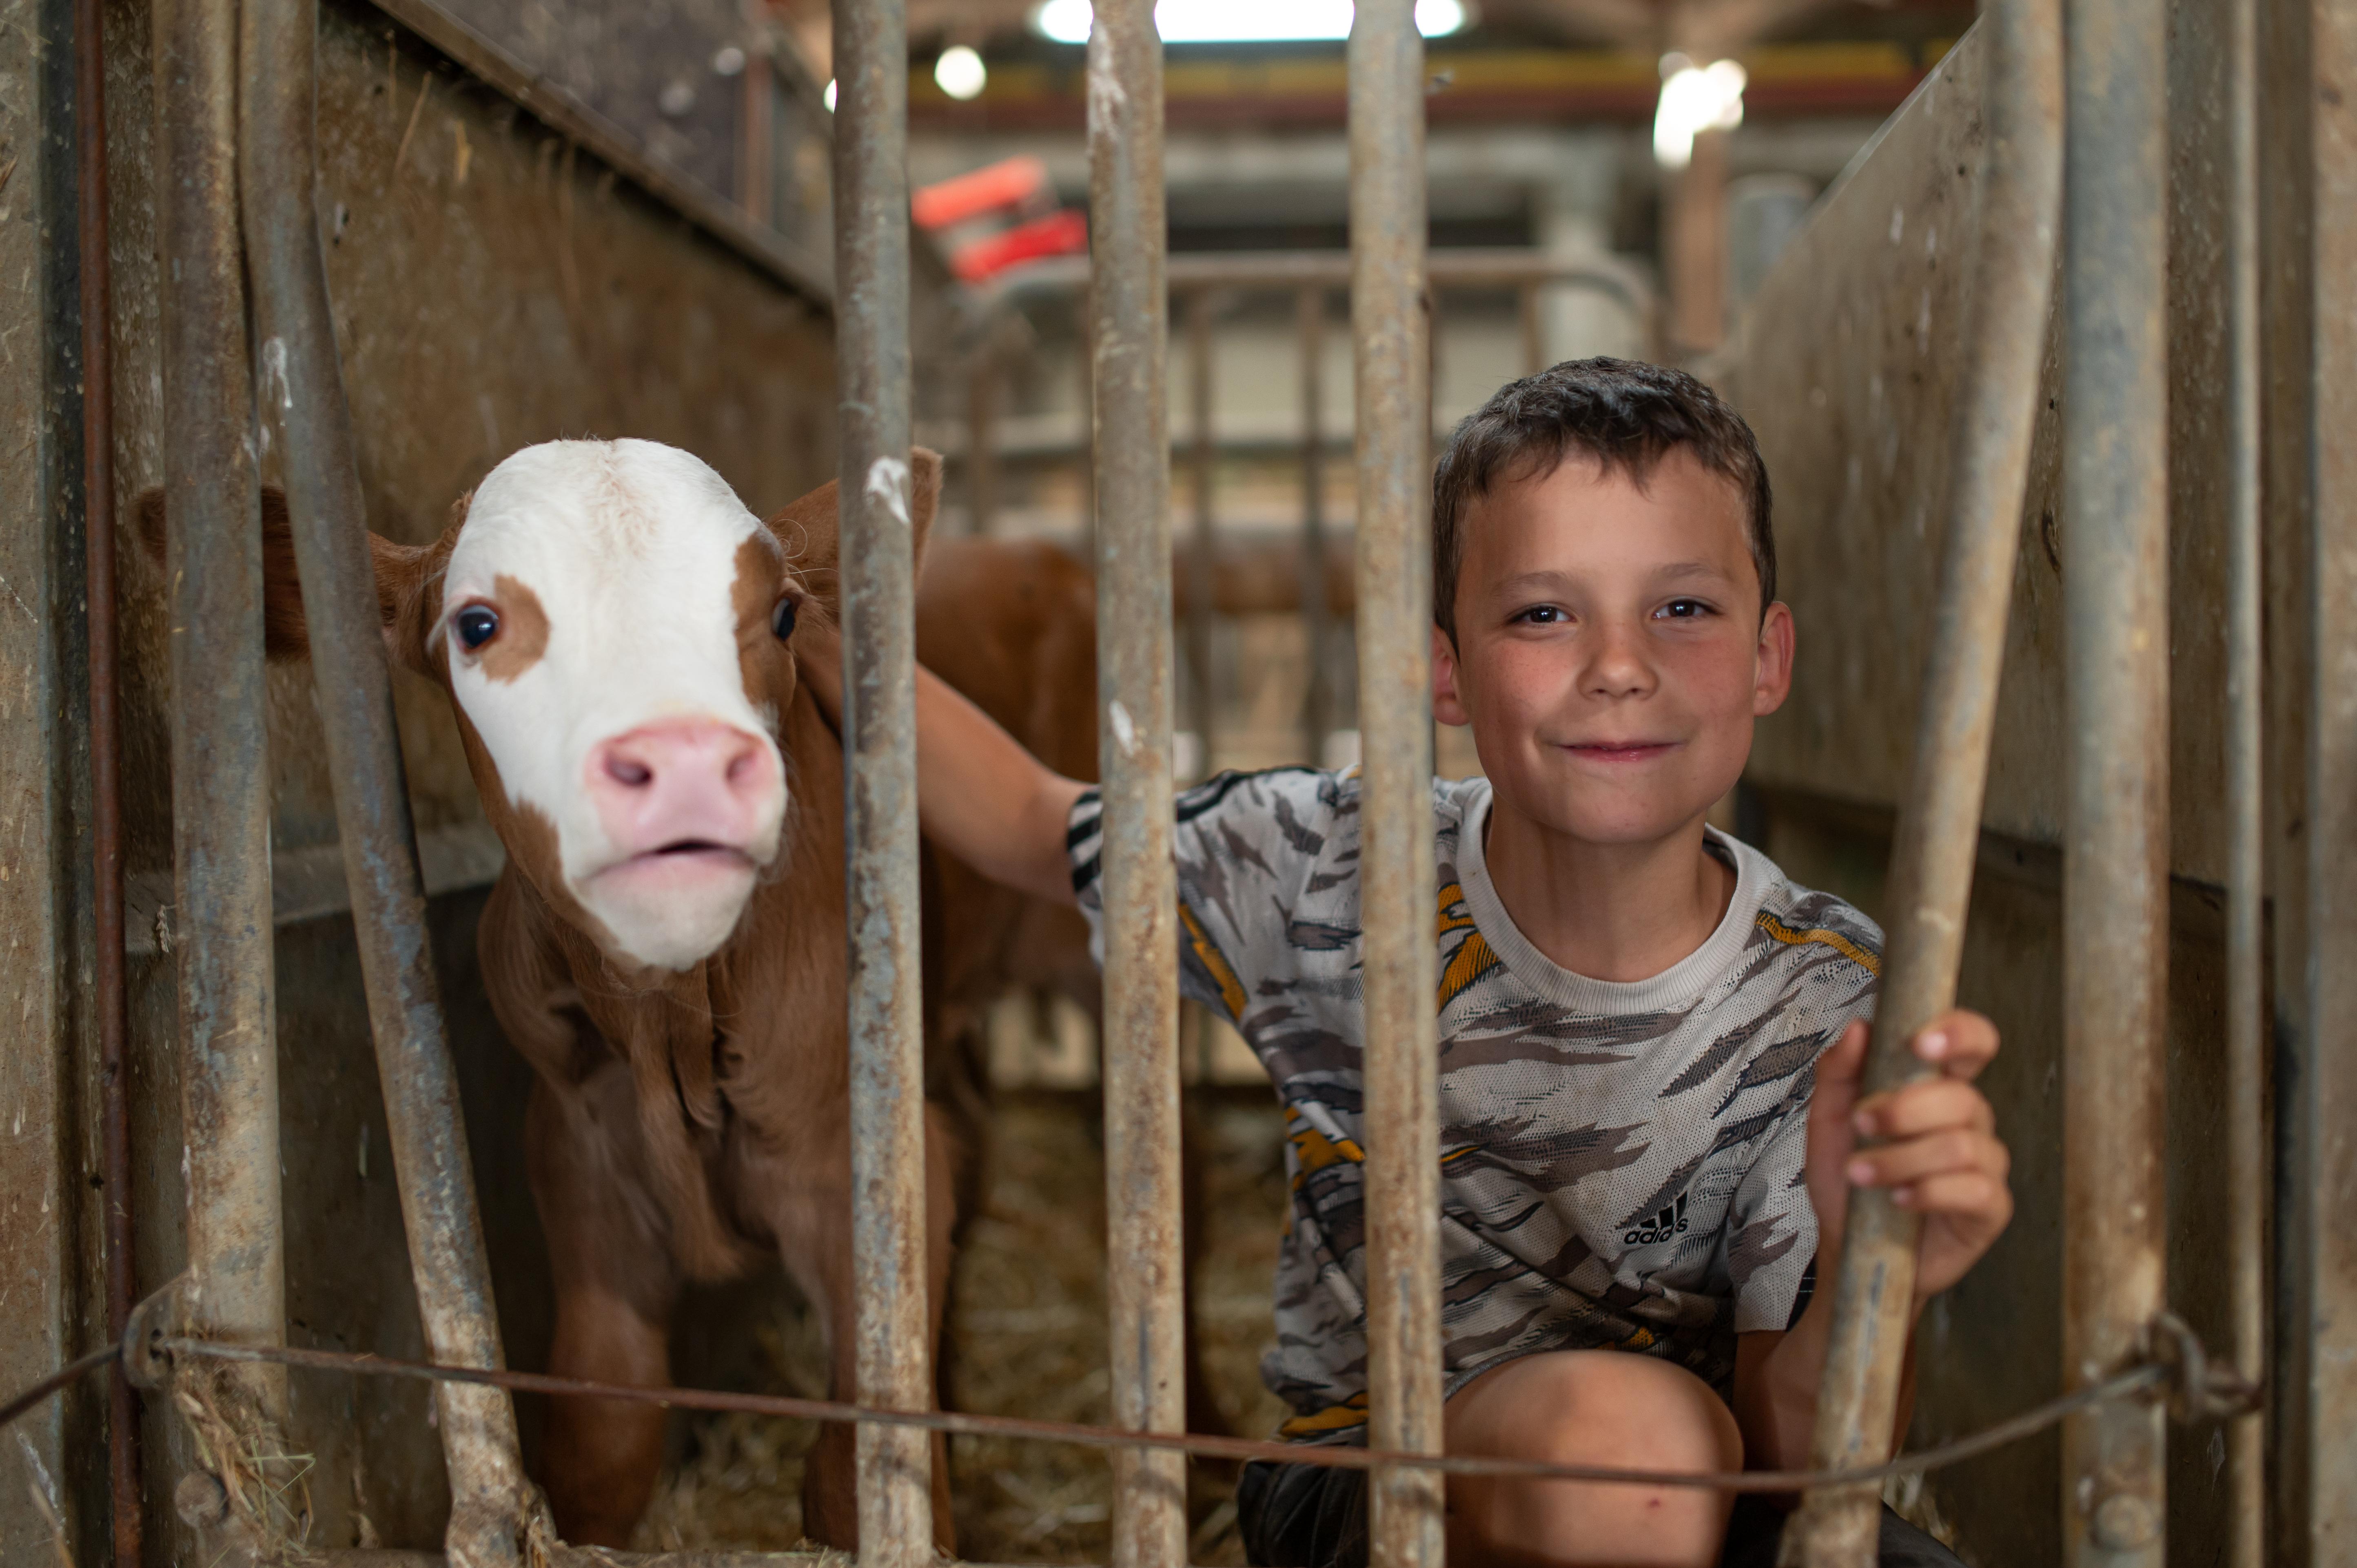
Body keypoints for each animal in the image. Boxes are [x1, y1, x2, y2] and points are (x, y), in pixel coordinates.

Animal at [149, 443, 1093, 1556]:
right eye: (478, 624)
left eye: (781, 614)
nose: (687, 761)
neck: (667, 1031)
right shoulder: (580, 1164)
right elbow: (604, 1441)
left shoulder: (846, 1167)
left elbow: (859, 1476)